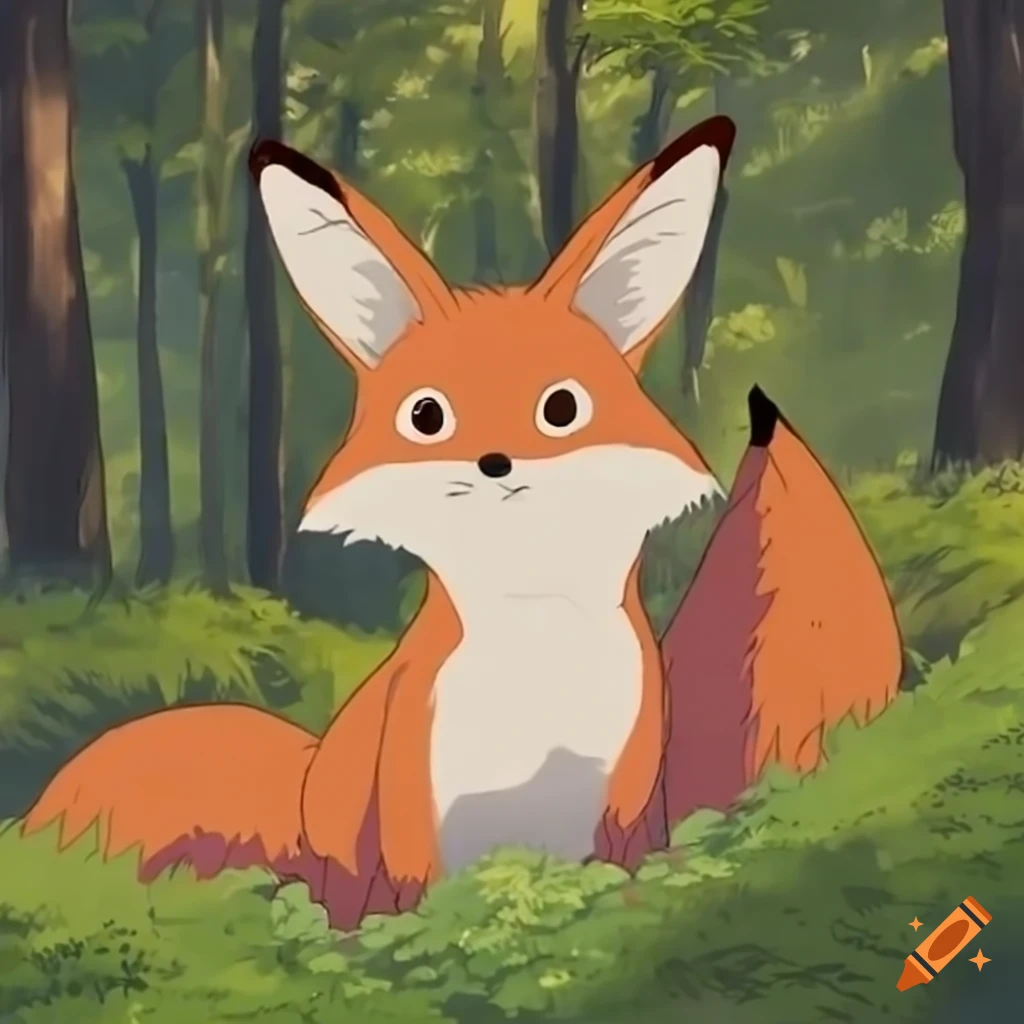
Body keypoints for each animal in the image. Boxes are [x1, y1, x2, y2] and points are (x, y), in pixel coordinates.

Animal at [21, 115, 902, 930]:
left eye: (561, 408)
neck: (533, 644)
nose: (495, 463)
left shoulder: (624, 806)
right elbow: (410, 911)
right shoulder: (413, 810)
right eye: (427, 416)